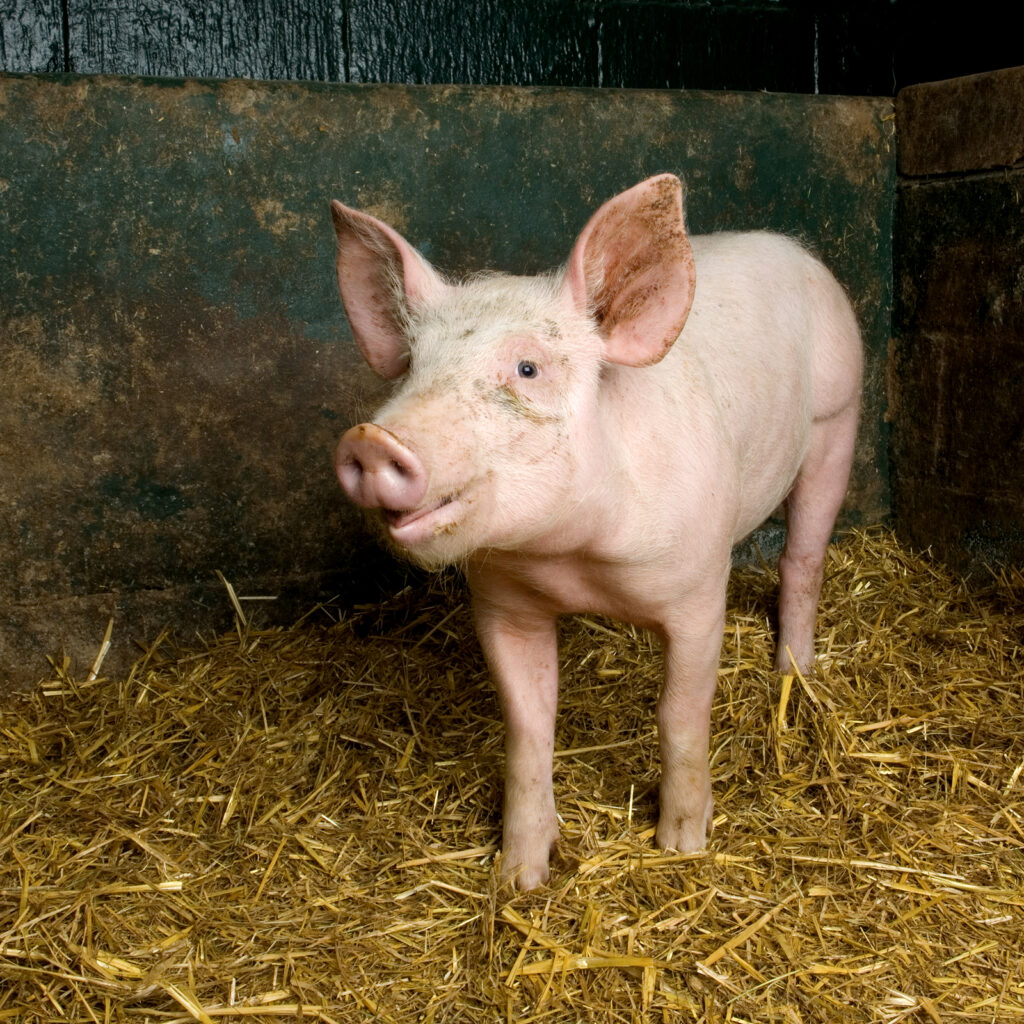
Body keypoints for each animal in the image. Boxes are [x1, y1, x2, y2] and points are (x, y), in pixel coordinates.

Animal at [330, 174, 862, 890]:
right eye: (414, 364)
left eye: (527, 369)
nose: (370, 439)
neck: (575, 559)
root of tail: (792, 248)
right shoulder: (504, 603)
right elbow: (528, 723)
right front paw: (520, 878)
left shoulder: (699, 591)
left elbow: (680, 715)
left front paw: (681, 847)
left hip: (838, 415)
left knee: (804, 556)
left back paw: (795, 673)